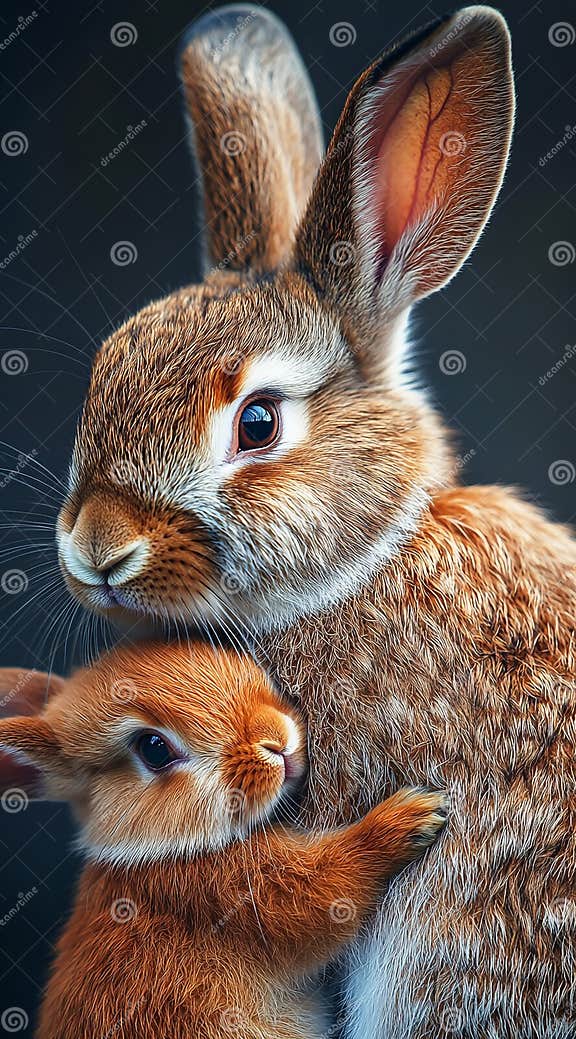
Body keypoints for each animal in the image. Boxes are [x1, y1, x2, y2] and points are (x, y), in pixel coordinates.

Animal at [0, 641, 447, 1039]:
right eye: (154, 749)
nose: (277, 742)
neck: (157, 849)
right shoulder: (234, 894)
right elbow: (328, 894)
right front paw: (411, 816)